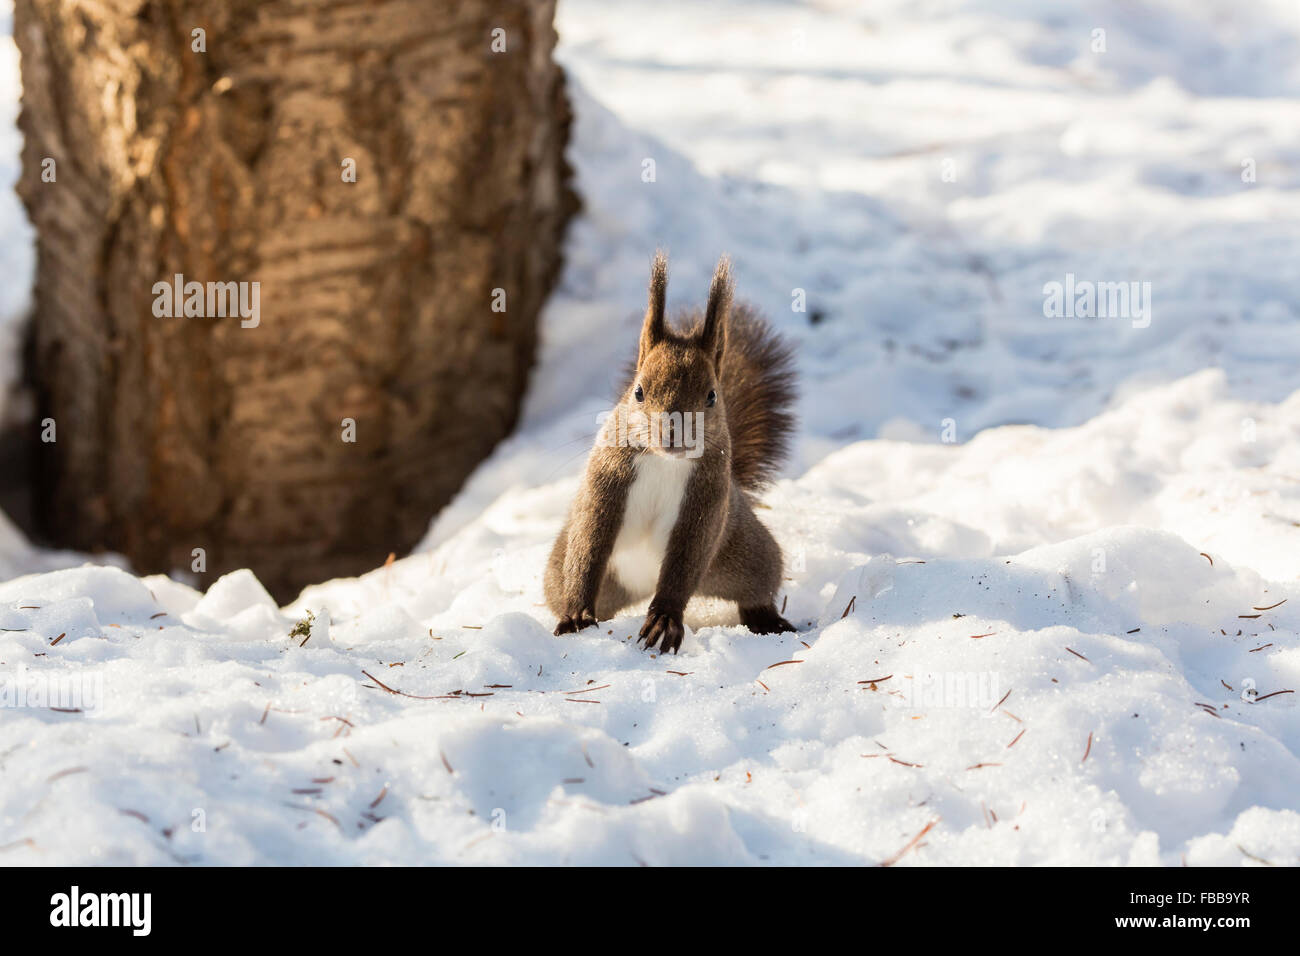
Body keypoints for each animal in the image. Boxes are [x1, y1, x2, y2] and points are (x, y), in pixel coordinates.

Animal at [544, 252, 797, 653]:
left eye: (712, 395)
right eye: (638, 391)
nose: (672, 435)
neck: (662, 462)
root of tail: (642, 586)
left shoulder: (708, 501)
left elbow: (685, 561)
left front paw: (664, 619)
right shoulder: (604, 482)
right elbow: (589, 540)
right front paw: (576, 613)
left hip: (745, 553)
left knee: (757, 586)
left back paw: (767, 619)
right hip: (570, 572)